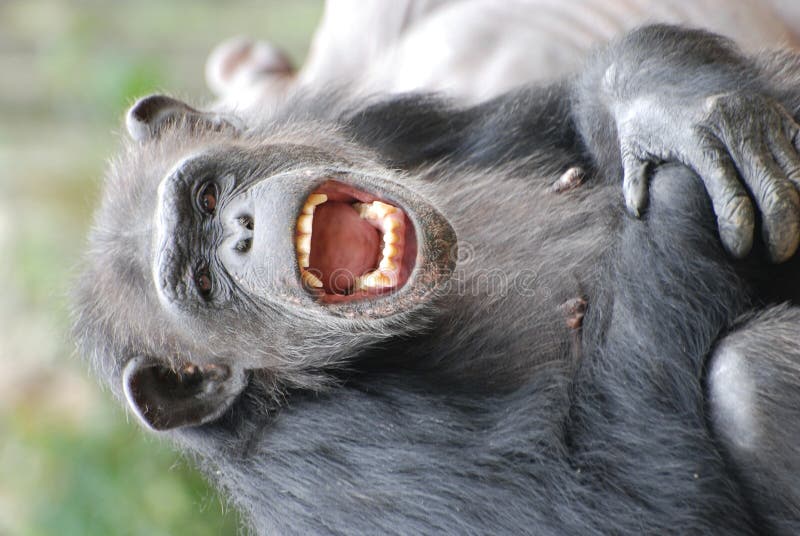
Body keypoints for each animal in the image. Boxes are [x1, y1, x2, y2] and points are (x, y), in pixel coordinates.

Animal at [73, 26, 800, 534]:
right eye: (201, 283)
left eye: (206, 197)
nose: (240, 231)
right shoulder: (320, 459)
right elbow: (629, 505)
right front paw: (680, 189)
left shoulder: (371, 124)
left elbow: (538, 116)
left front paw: (665, 103)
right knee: (748, 380)